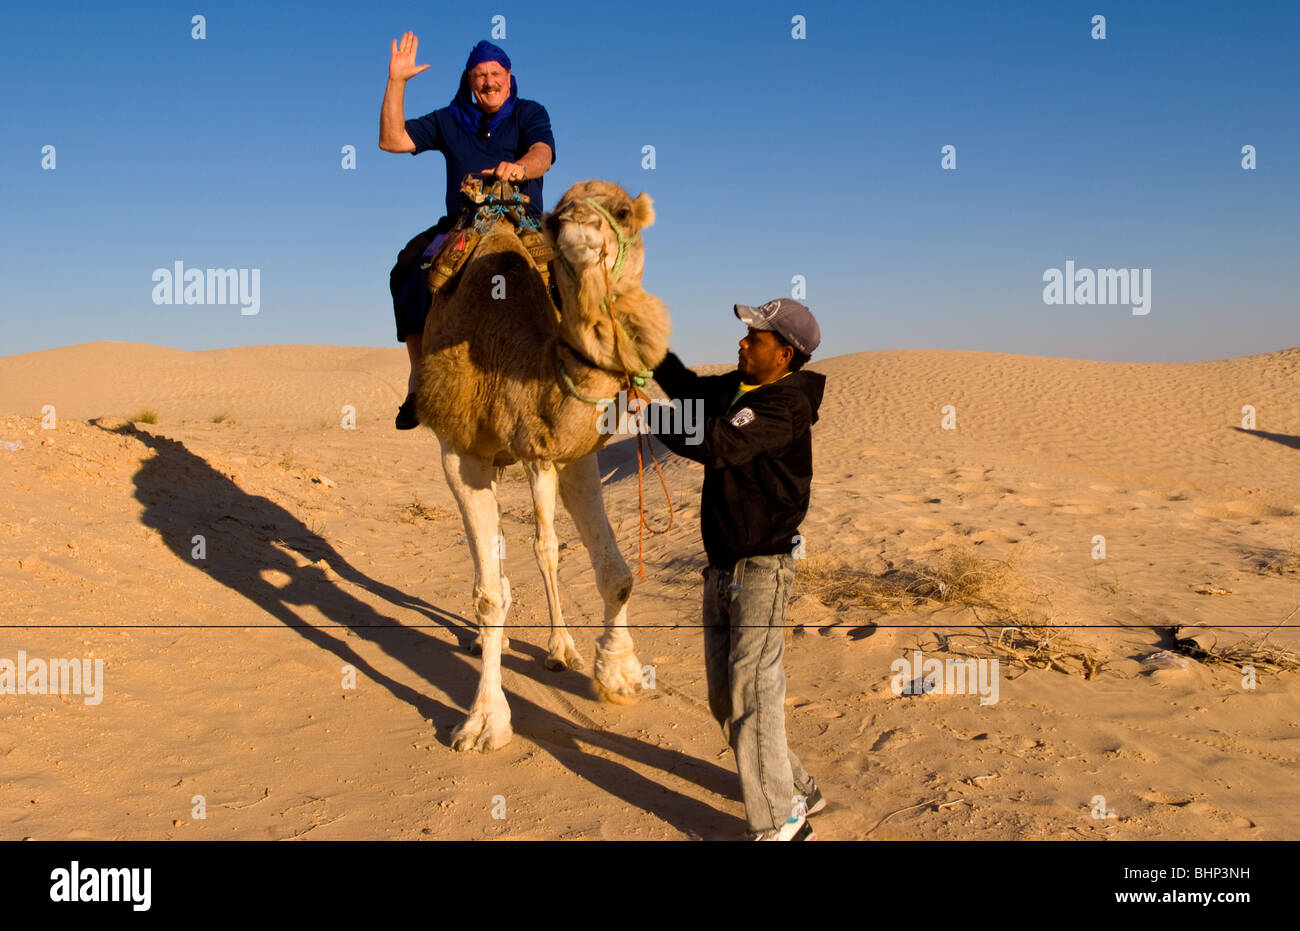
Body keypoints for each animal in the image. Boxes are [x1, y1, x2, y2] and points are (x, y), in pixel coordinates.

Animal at [416, 179, 670, 751]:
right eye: (554, 219)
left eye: (623, 211)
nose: (578, 229)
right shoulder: (460, 454)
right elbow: (488, 596)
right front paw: (484, 722)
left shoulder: (572, 455)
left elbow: (614, 573)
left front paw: (619, 674)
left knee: (540, 548)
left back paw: (559, 647)